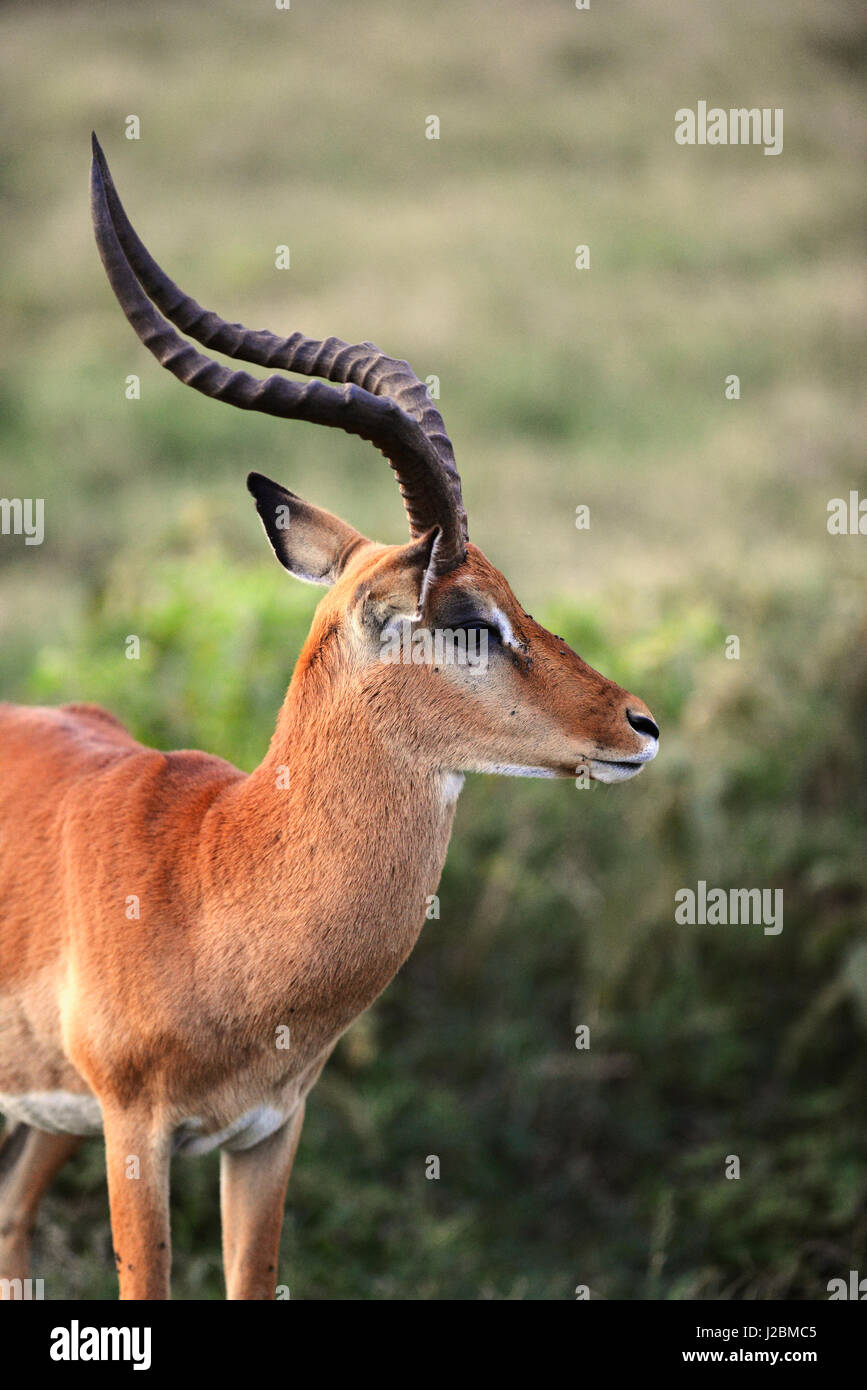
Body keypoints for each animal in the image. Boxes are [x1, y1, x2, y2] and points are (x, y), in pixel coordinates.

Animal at [0, 135, 660, 1300]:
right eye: (468, 618)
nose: (638, 723)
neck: (213, 874)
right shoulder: (135, 1134)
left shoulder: (268, 1134)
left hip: (44, 1120)